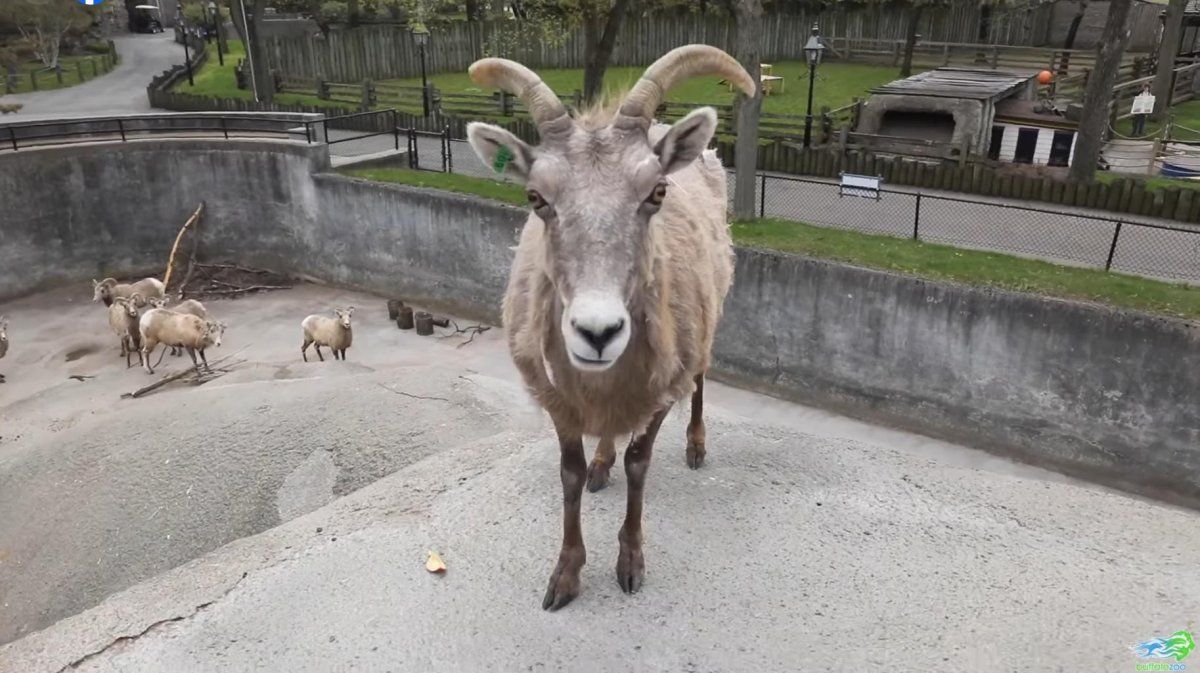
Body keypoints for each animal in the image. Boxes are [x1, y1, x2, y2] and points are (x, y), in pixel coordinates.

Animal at [463, 44, 753, 610]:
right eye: (536, 198)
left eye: (657, 192)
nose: (597, 333)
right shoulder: (559, 395)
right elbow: (570, 473)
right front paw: (565, 577)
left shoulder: (661, 387)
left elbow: (640, 463)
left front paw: (630, 564)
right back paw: (603, 463)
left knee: (701, 379)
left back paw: (696, 447)